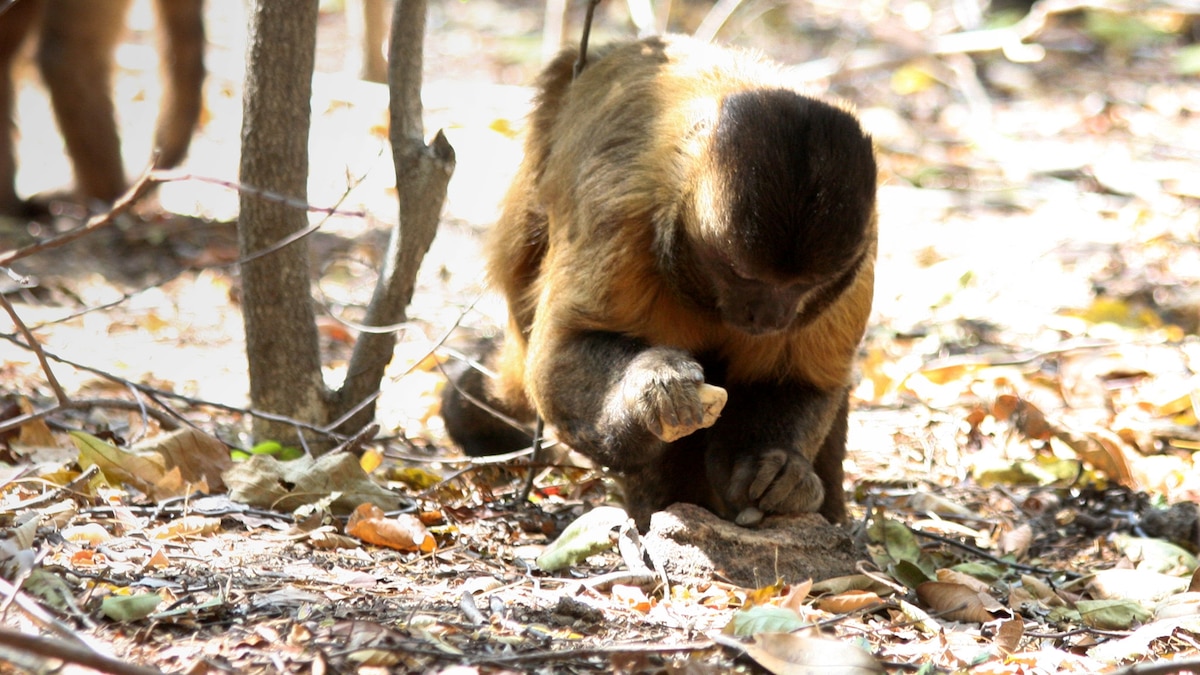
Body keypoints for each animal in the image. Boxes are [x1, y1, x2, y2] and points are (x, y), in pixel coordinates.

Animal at [442, 35, 877, 530]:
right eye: (744, 276)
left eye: (802, 287)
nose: (769, 316)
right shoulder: (619, 216)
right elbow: (558, 358)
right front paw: (650, 389)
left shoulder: (857, 262)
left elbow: (799, 381)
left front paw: (779, 469)